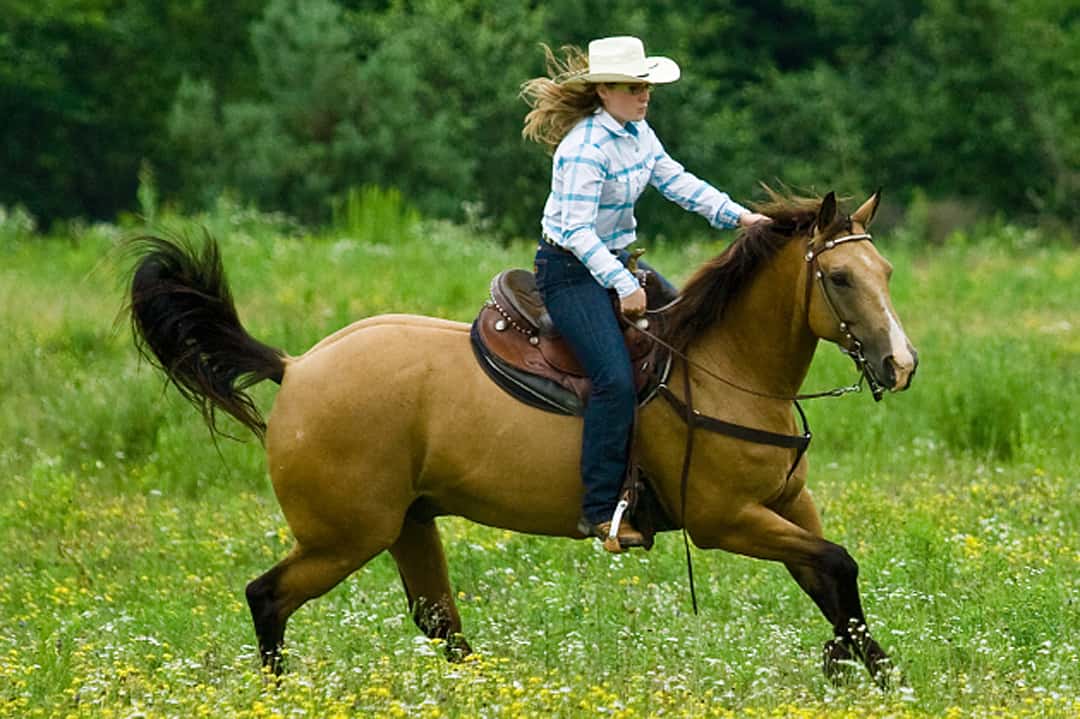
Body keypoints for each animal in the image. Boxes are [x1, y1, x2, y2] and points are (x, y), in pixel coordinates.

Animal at [127, 189, 917, 686]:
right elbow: (837, 564)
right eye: (839, 277)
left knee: (440, 624)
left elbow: (830, 577)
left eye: (884, 270)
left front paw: (868, 668)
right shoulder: (727, 520)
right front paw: (857, 667)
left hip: (408, 525)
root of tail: (295, 367)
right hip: (344, 537)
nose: (900, 364)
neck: (721, 366)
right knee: (268, 598)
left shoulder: (787, 507)